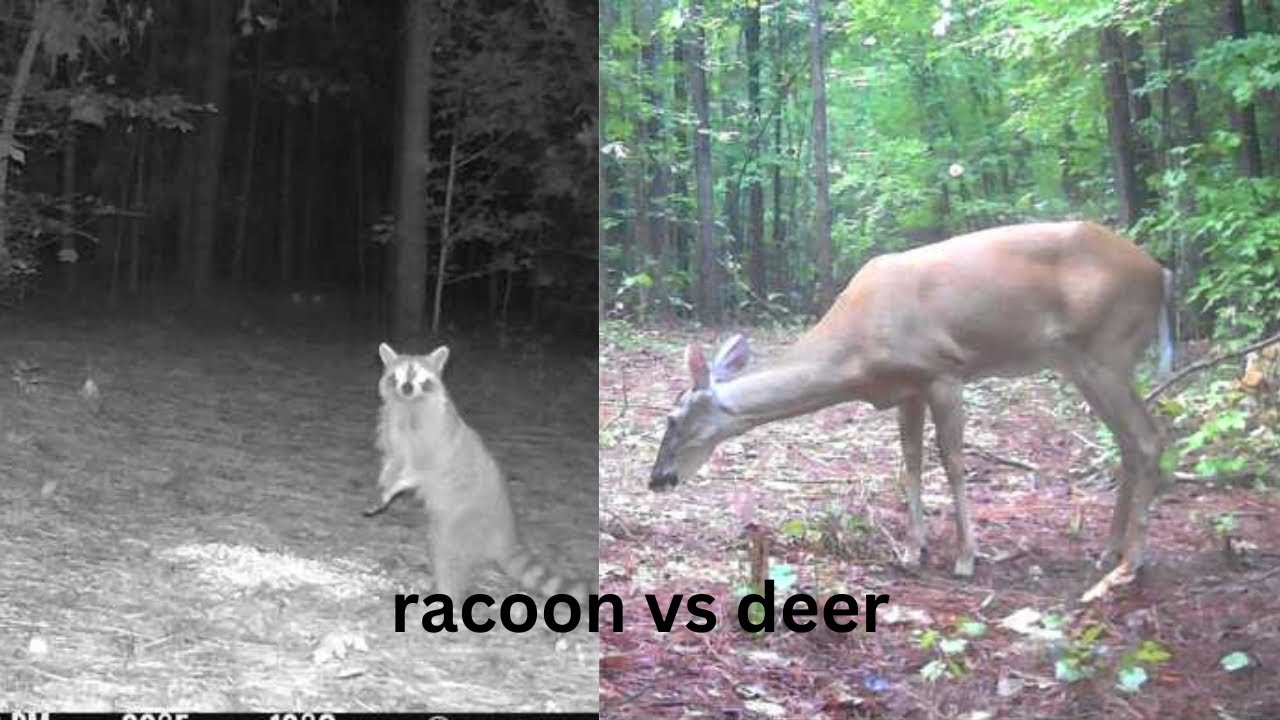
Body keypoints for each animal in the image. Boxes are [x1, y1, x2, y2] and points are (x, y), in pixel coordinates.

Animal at [649, 221, 1176, 603]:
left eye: (672, 420)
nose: (657, 478)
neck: (858, 350)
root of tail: (1161, 273)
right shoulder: (907, 390)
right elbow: (910, 464)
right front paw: (912, 549)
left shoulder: (944, 371)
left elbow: (954, 462)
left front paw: (965, 557)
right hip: (1083, 362)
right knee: (1129, 443)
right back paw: (1109, 551)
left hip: (1108, 347)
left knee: (1149, 438)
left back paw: (1131, 562)